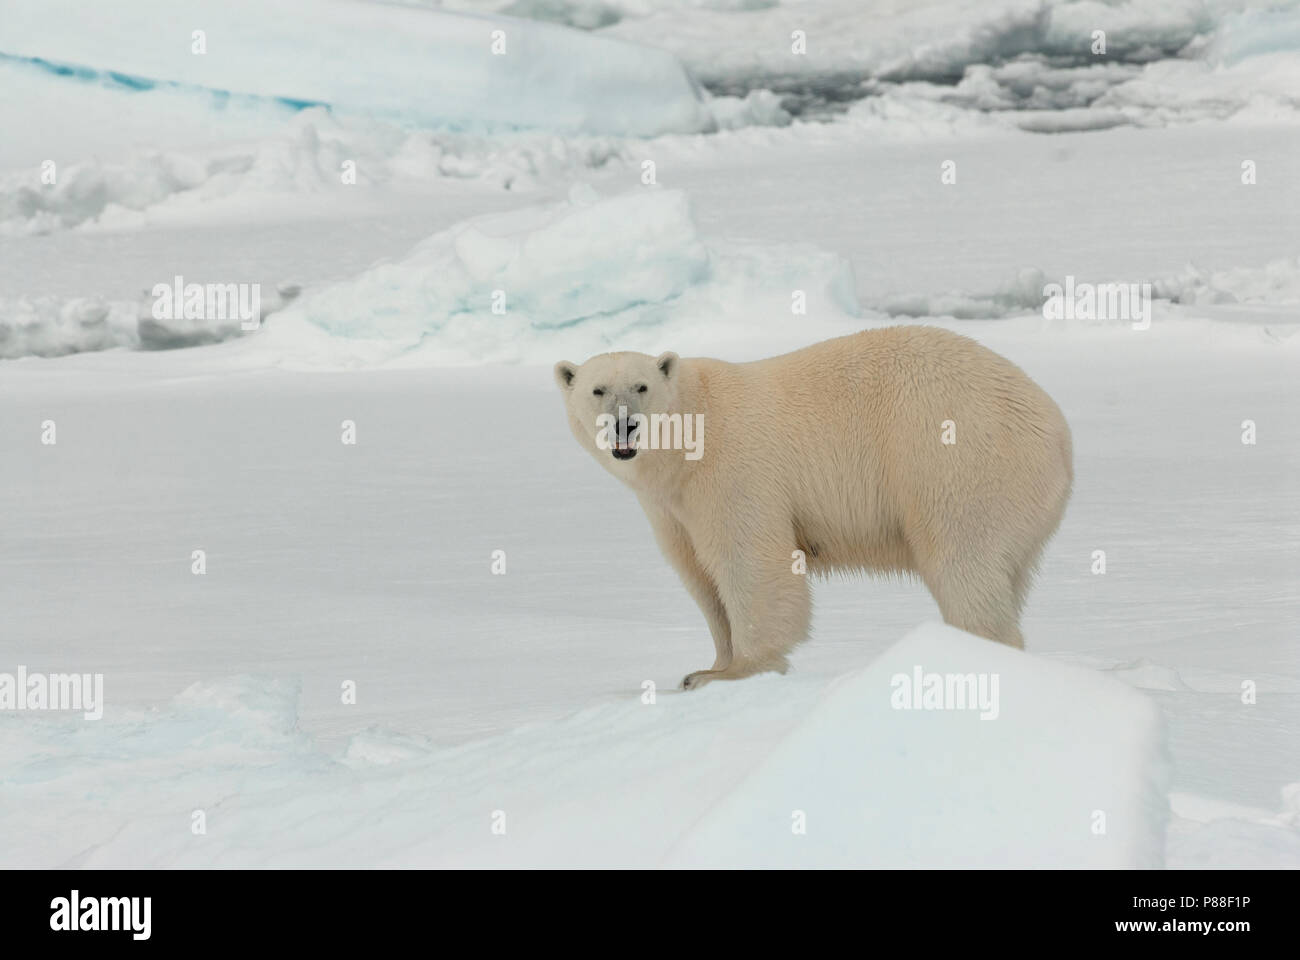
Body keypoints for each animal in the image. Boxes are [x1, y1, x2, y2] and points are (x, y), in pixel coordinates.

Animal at [554, 325, 1073, 690]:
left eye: (641, 387)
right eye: (598, 390)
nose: (624, 425)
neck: (686, 444)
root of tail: (1056, 429)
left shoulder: (733, 470)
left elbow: (750, 561)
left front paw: (732, 672)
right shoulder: (669, 506)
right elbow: (699, 576)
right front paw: (709, 664)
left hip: (954, 459)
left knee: (962, 560)